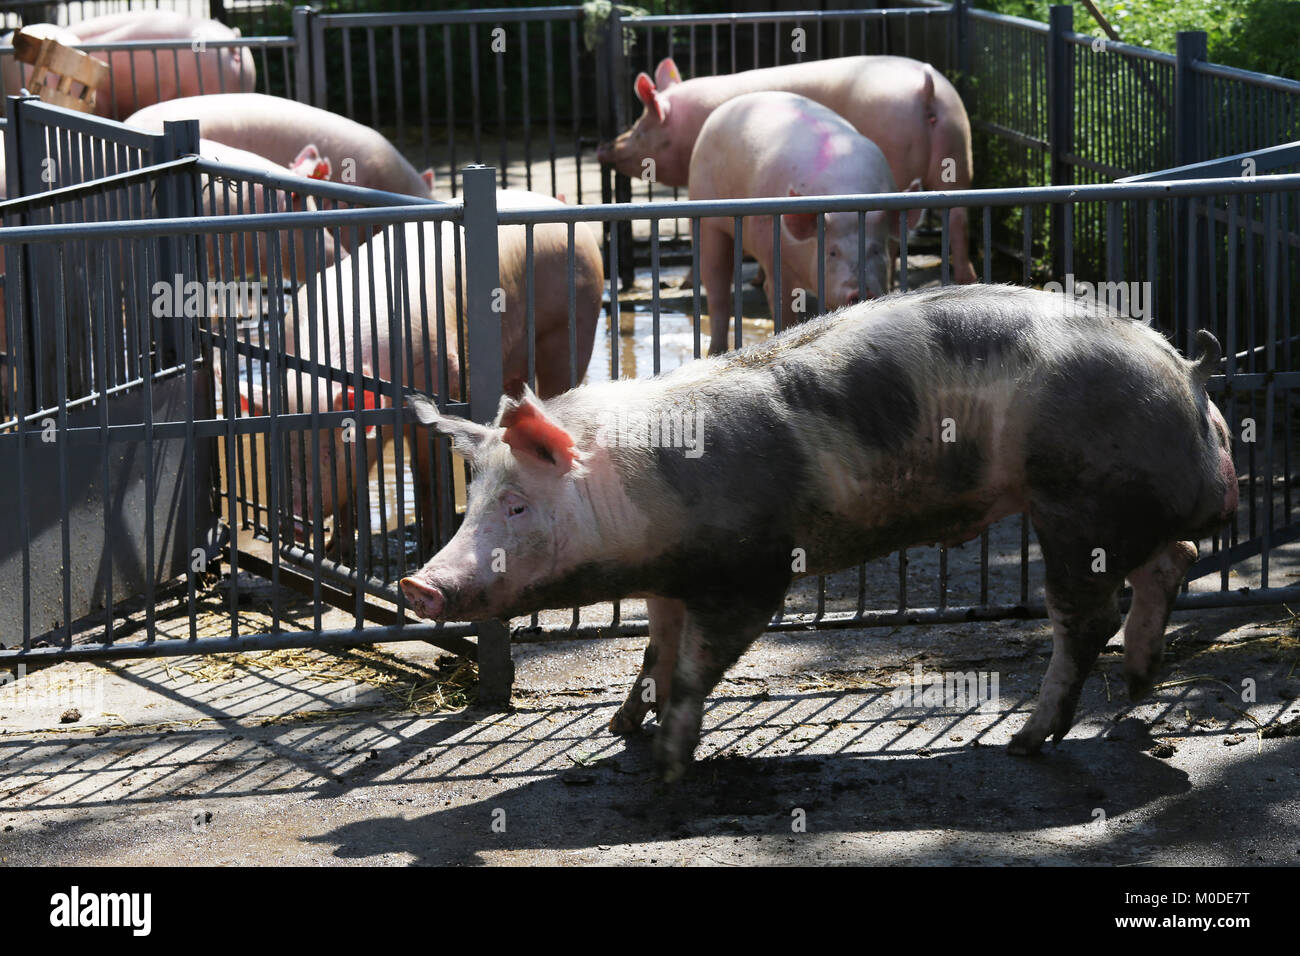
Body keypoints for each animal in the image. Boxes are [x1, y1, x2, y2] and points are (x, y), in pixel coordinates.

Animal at [242, 191, 603, 556]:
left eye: (329, 453)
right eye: (273, 448)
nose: (295, 524)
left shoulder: (442, 381)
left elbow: (428, 479)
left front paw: (429, 546)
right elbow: (352, 492)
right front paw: (337, 552)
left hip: (575, 322)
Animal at [399, 284, 1239, 782]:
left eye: (516, 506)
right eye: (474, 501)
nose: (417, 584)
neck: (640, 488)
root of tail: (1187, 370)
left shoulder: (750, 569)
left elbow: (697, 664)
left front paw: (668, 766)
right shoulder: (672, 578)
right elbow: (653, 651)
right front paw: (622, 725)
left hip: (1073, 504)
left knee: (1087, 616)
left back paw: (1024, 743)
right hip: (1119, 509)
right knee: (1176, 556)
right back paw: (1139, 681)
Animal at [597, 55, 977, 286]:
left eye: (640, 130)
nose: (604, 148)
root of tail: (926, 88)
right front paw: (755, 280)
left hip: (900, 151)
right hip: (958, 146)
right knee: (959, 215)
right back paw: (967, 278)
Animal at [690, 91, 923, 356]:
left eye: (876, 250)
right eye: (832, 252)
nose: (861, 291)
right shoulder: (774, 257)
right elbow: (780, 304)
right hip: (707, 216)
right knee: (717, 288)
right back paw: (715, 352)